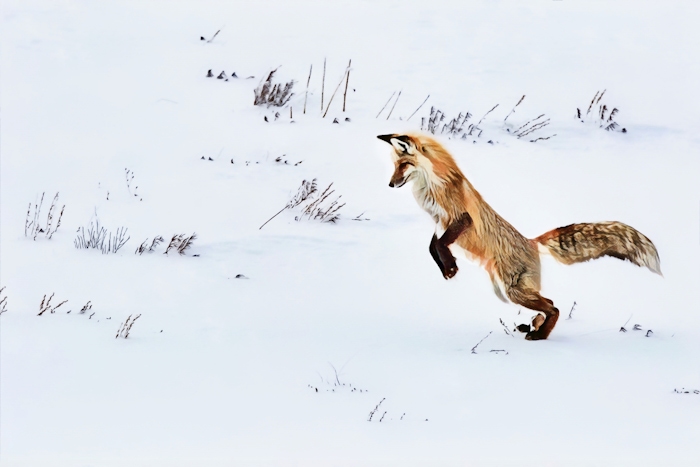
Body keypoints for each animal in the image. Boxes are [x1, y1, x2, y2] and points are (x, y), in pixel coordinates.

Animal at [378, 133, 661, 340]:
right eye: (394, 165)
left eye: (404, 164)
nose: (390, 184)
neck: (433, 185)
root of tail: (532, 242)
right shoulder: (439, 222)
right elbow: (433, 246)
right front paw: (447, 267)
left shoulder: (461, 218)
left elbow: (440, 243)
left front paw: (449, 267)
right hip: (505, 291)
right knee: (548, 302)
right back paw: (533, 326)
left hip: (512, 290)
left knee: (554, 307)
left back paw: (539, 335)